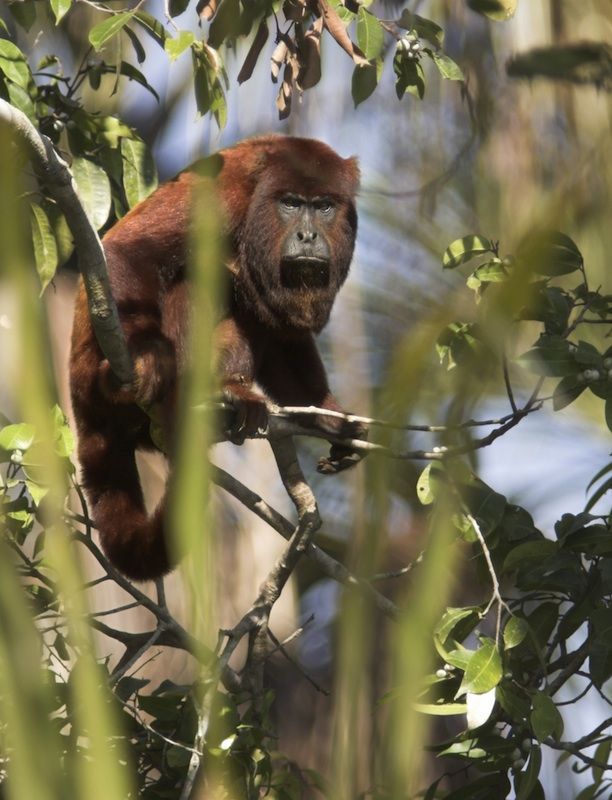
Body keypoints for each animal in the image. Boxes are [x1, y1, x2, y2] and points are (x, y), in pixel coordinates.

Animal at [69, 135, 366, 581]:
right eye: (291, 203)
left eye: (325, 206)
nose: (308, 235)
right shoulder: (222, 194)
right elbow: (130, 251)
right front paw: (148, 355)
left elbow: (285, 336)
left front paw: (333, 418)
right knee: (194, 275)